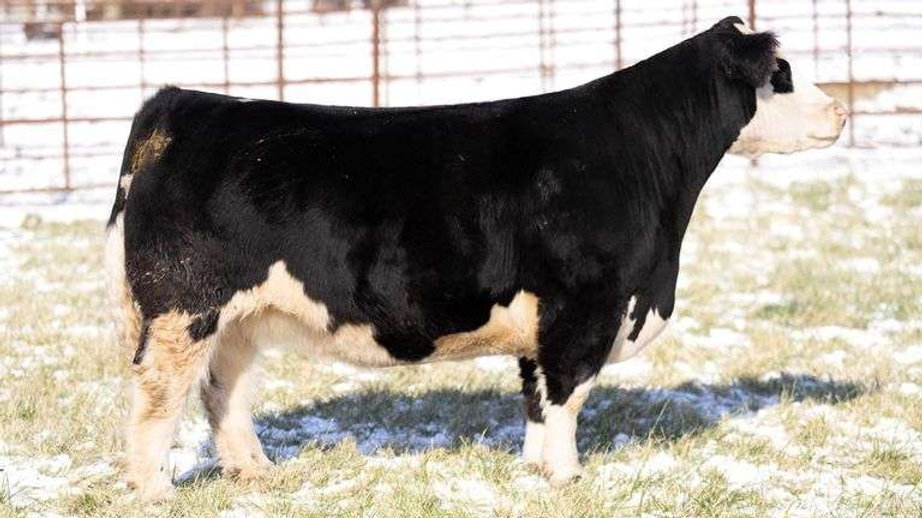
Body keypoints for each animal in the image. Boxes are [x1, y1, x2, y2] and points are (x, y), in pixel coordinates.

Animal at [106, 17, 846, 499]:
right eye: (780, 75)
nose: (841, 112)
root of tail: (180, 105)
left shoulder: (544, 322)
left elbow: (537, 401)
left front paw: (537, 473)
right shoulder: (584, 308)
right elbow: (569, 396)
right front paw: (568, 478)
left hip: (237, 317)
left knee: (222, 390)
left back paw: (256, 473)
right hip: (183, 307)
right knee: (158, 398)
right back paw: (155, 491)